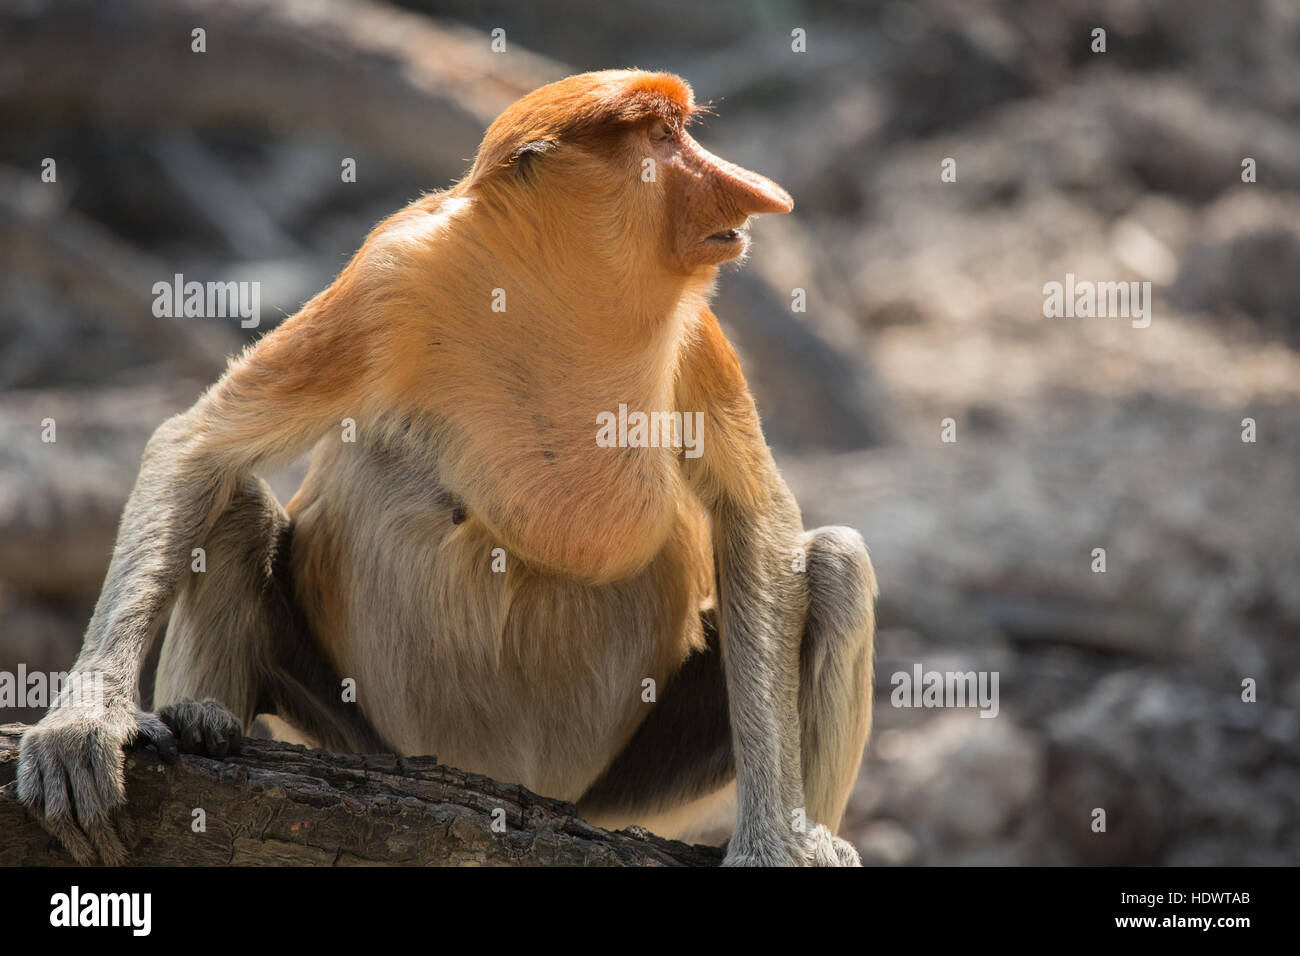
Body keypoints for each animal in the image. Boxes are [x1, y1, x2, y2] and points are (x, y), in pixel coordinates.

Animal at [17, 70, 876, 867]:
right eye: (664, 140)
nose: (758, 194)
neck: (551, 290)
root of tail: (524, 781)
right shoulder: (390, 280)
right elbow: (199, 446)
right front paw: (82, 722)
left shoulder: (697, 334)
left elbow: (754, 517)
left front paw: (772, 842)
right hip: (367, 735)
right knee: (236, 510)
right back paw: (206, 721)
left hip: (625, 777)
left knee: (836, 564)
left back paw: (820, 837)